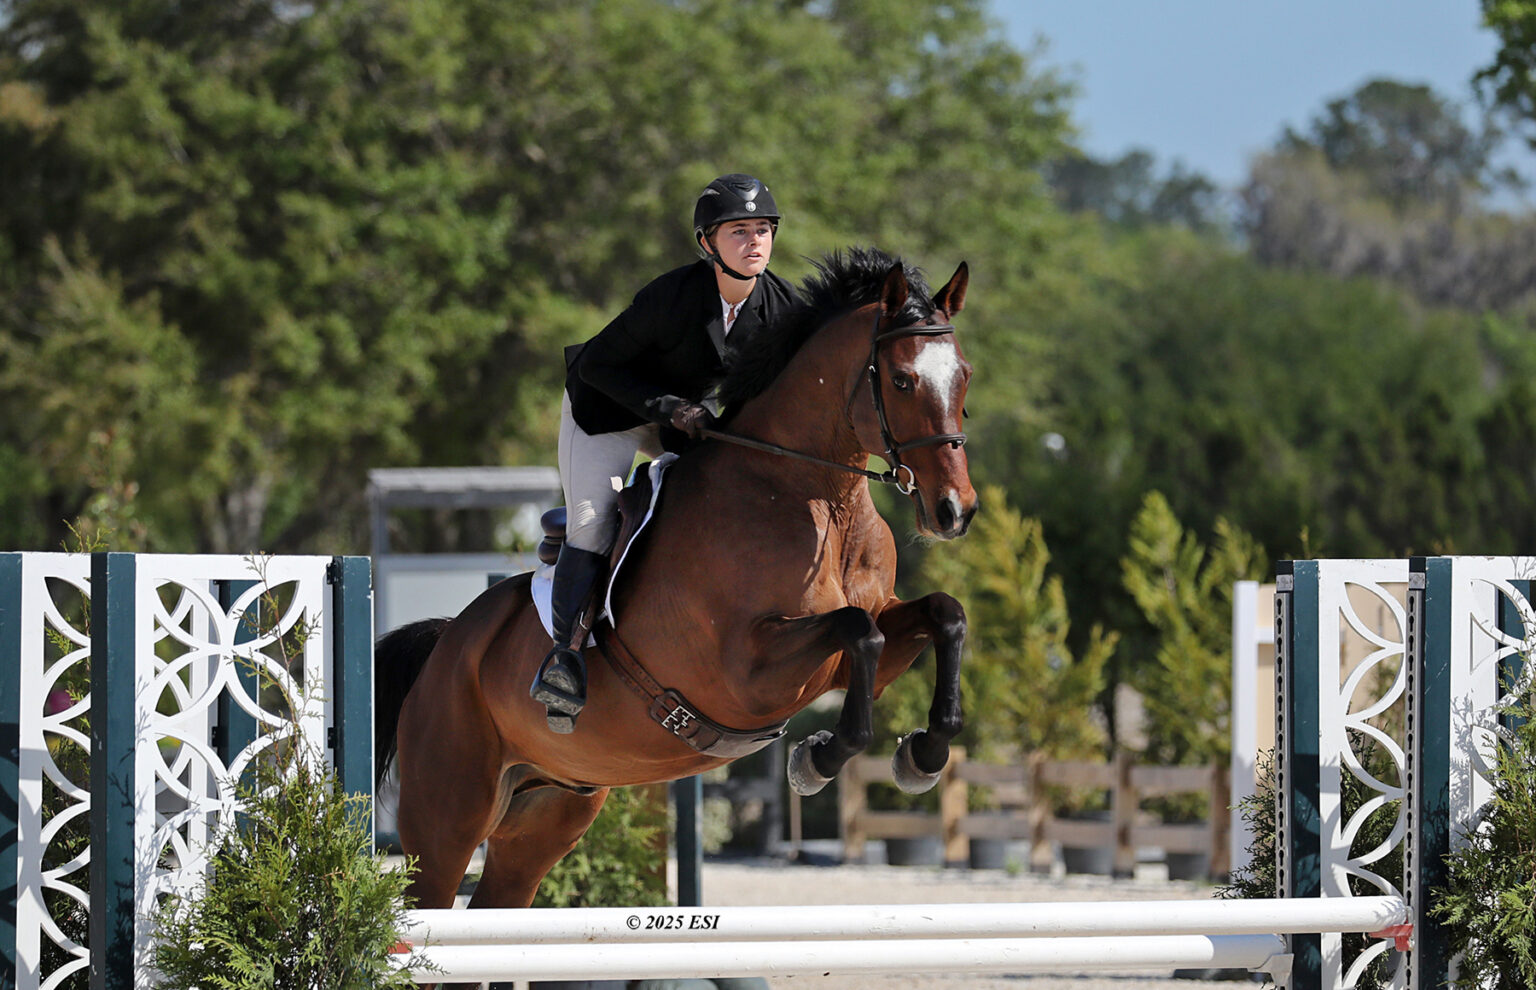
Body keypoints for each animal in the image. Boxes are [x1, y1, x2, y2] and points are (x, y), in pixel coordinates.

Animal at [374, 247, 977, 984]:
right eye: (901, 378)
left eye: (963, 375)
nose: (954, 511)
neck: (814, 495)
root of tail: (447, 644)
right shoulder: (747, 673)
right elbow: (856, 633)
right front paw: (819, 758)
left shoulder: (863, 652)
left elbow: (942, 616)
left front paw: (924, 753)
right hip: (448, 816)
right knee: (428, 908)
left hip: (548, 812)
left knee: (493, 916)